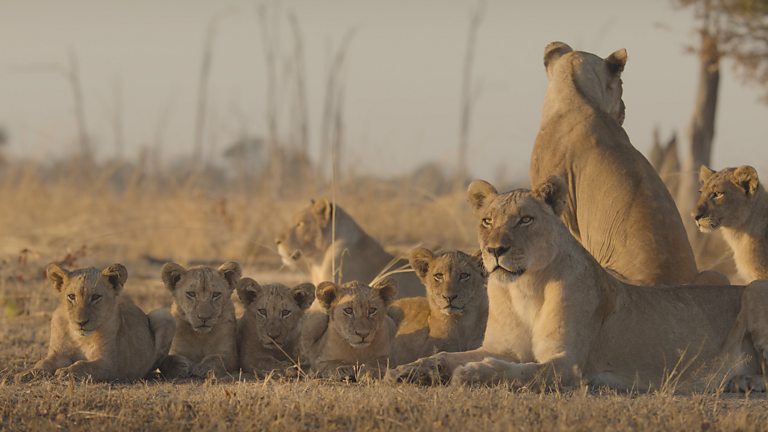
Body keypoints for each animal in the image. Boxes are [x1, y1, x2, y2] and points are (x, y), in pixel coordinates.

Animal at [15, 263, 175, 382]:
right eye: (71, 296)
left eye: (96, 297)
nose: (81, 323)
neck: (79, 337)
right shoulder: (58, 354)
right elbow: (43, 363)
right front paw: (27, 374)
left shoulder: (107, 363)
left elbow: (83, 365)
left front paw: (65, 372)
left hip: (164, 315)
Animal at [392, 178, 768, 392]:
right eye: (487, 221)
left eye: (525, 219)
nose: (494, 250)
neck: (525, 288)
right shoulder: (501, 346)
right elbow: (445, 354)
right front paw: (411, 369)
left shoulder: (567, 364)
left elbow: (520, 373)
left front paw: (473, 374)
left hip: (755, 289)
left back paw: (744, 380)